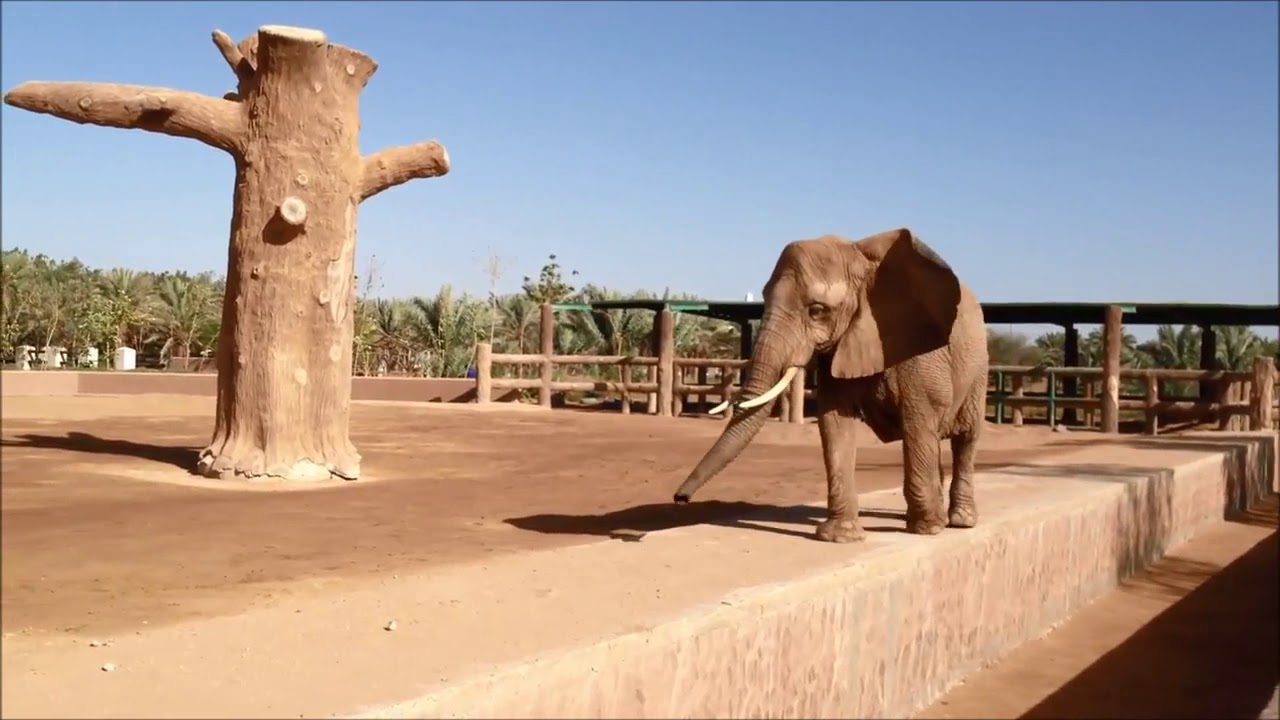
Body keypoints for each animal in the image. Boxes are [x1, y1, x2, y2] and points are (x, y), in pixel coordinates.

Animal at [672, 227, 988, 542]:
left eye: (817, 310)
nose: (680, 498)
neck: (862, 258)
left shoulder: (918, 353)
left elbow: (918, 422)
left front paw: (927, 530)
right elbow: (835, 424)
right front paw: (840, 536)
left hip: (979, 369)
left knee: (965, 438)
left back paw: (959, 521)